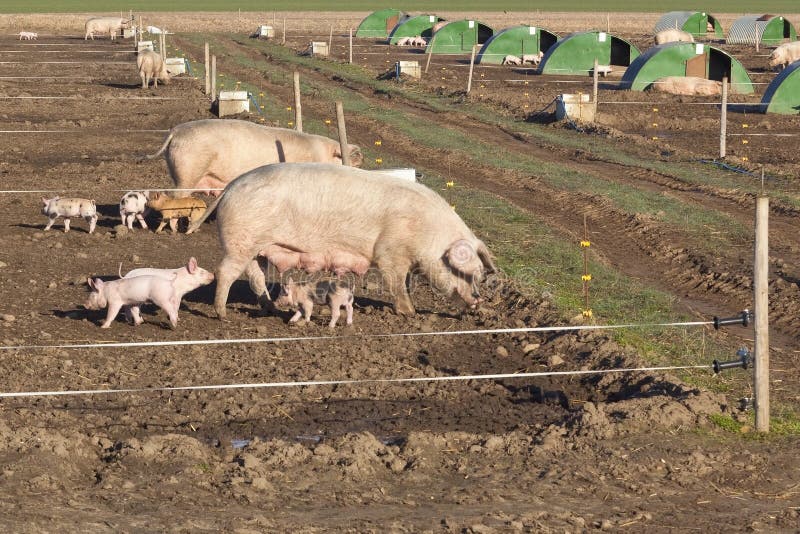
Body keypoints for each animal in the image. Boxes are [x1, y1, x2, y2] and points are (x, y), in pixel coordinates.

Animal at [187, 162, 496, 319]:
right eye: (463, 272)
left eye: (480, 275)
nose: (478, 300)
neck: (428, 234)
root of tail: (231, 187)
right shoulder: (390, 252)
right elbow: (396, 282)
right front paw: (410, 314)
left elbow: (406, 282)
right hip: (240, 242)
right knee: (225, 272)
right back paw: (223, 315)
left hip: (256, 249)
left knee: (255, 277)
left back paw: (271, 307)